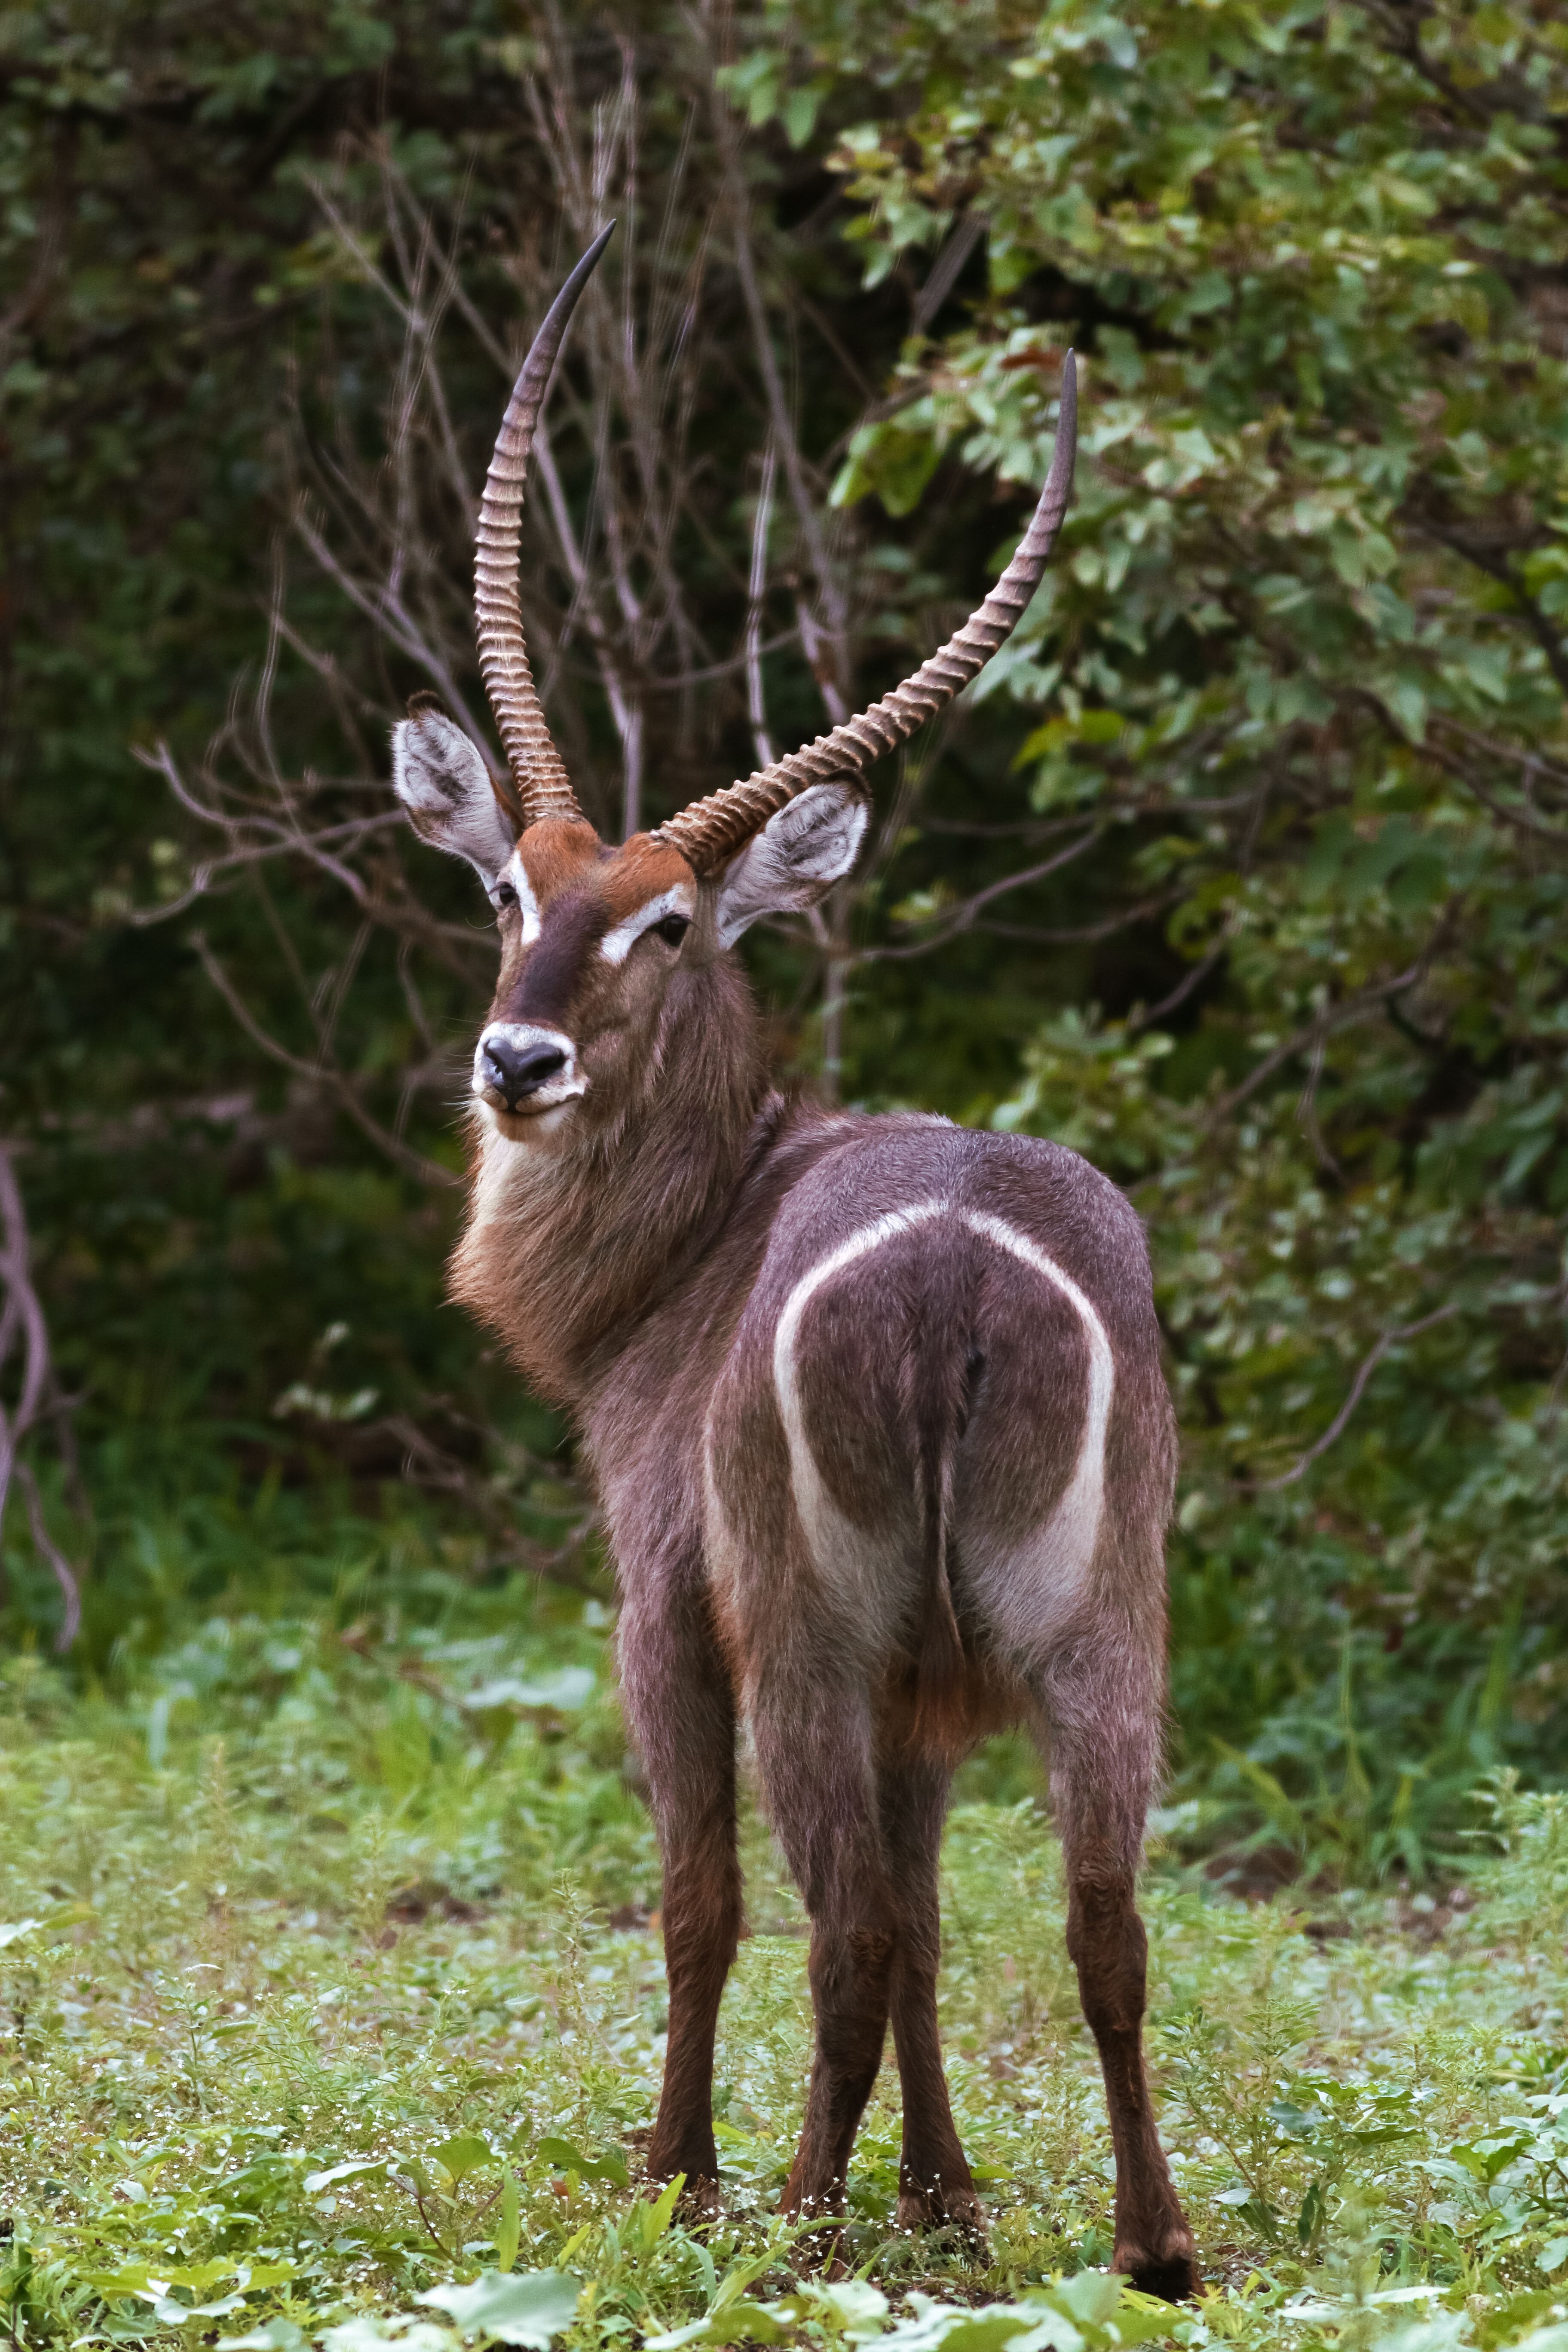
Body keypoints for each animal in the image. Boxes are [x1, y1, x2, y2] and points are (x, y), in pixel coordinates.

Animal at [391, 225, 1197, 2300]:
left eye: (666, 922)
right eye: (509, 889)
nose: (518, 1061)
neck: (695, 1235)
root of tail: (965, 1268)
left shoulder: (666, 1605)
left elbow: (705, 1899)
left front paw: (678, 2172)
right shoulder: (928, 1680)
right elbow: (927, 1920)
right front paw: (952, 2193)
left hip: (809, 1623)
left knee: (828, 1922)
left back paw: (794, 2225)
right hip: (1099, 1622)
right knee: (1096, 1918)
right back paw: (1150, 2244)